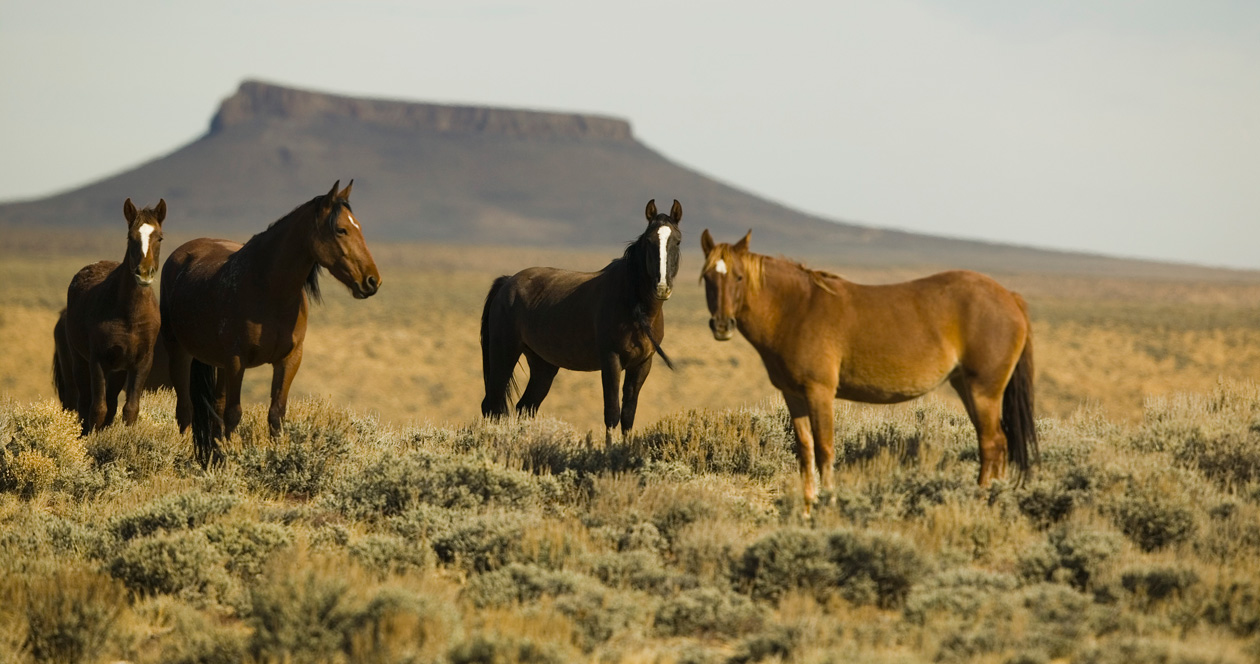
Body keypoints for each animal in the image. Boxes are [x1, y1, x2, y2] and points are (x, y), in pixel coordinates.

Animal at [53, 198, 166, 434]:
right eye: (131, 237)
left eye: (159, 237)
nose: (144, 273)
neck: (130, 316)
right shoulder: (98, 361)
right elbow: (98, 409)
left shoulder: (141, 363)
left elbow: (130, 409)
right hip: (79, 365)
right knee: (80, 403)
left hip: (117, 371)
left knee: (111, 404)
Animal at [159, 181, 381, 466]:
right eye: (341, 229)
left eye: (359, 227)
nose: (372, 281)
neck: (269, 290)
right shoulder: (237, 360)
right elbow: (234, 414)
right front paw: (232, 462)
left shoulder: (288, 360)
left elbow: (276, 414)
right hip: (182, 352)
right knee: (186, 409)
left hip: (218, 362)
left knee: (214, 406)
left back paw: (213, 454)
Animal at [480, 199, 682, 443]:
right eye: (650, 241)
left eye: (678, 241)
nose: (662, 287)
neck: (634, 304)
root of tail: (507, 282)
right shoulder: (611, 360)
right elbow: (612, 413)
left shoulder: (642, 364)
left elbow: (628, 415)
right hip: (504, 354)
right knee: (492, 405)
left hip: (542, 365)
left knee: (525, 407)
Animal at [699, 229, 1037, 515]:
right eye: (707, 278)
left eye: (739, 277)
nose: (721, 326)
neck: (796, 310)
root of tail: (1009, 296)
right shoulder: (793, 395)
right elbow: (805, 451)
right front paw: (807, 511)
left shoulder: (819, 392)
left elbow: (825, 448)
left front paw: (830, 505)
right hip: (966, 387)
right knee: (998, 442)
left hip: (984, 390)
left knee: (991, 443)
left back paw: (981, 503)